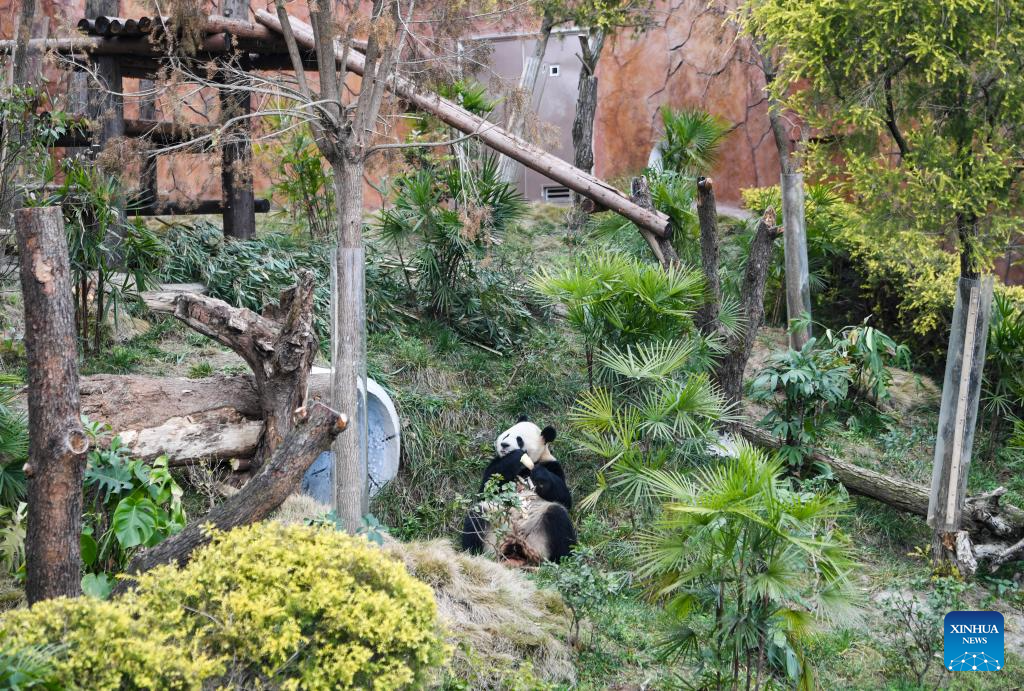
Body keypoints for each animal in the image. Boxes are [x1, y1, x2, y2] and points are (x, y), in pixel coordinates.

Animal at [461, 416, 576, 565]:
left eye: (519, 439)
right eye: (507, 435)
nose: (504, 445)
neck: (527, 466)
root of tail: (516, 546)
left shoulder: (552, 464)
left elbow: (564, 498)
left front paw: (539, 474)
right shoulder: (497, 463)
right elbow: (485, 490)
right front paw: (516, 457)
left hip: (538, 538)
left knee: (558, 516)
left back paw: (562, 561)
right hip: (495, 528)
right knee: (477, 516)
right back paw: (473, 555)